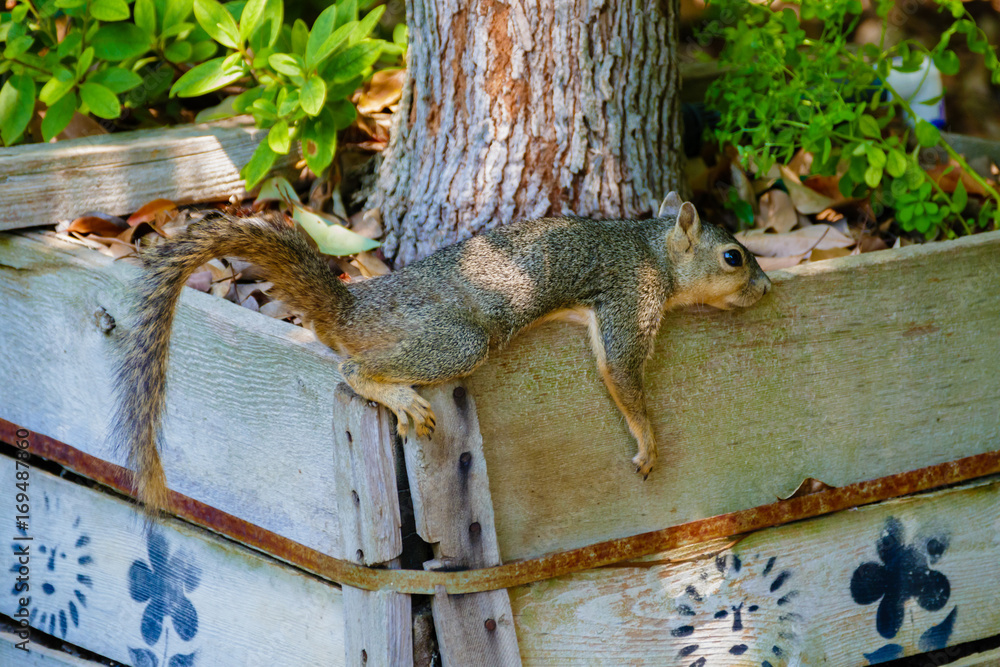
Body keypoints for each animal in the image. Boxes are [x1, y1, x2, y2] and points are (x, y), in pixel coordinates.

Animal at [112, 192, 771, 514]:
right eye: (734, 257)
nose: (767, 289)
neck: (651, 250)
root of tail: (352, 310)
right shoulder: (631, 300)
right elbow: (623, 375)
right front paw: (647, 441)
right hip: (455, 339)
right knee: (354, 369)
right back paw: (394, 394)